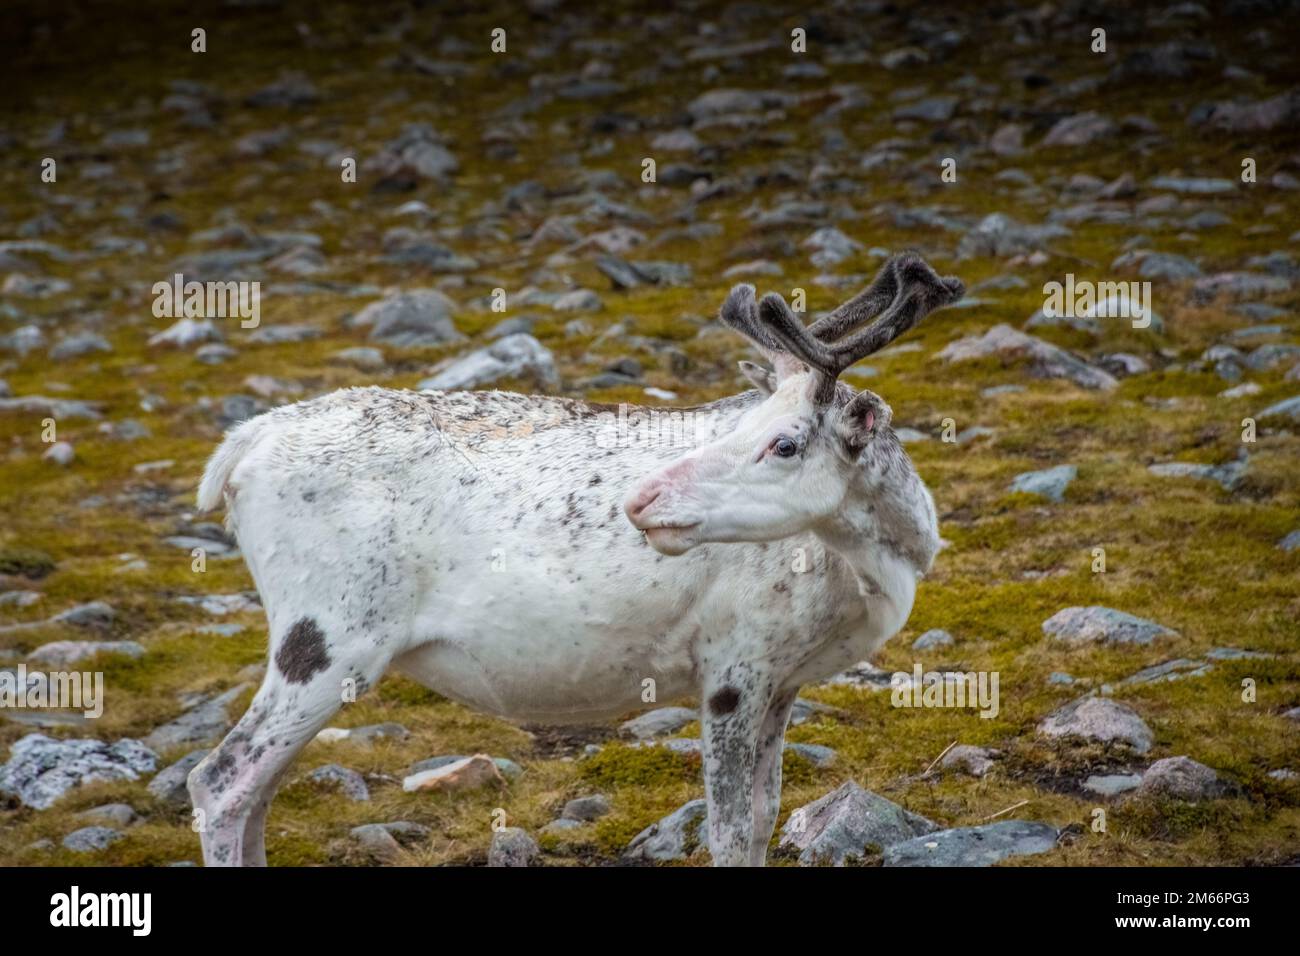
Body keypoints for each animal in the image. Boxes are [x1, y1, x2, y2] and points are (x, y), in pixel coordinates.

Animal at [187, 252, 964, 867]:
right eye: (747, 424)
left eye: (785, 442)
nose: (642, 499)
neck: (875, 564)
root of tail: (243, 445)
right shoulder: (731, 672)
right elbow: (729, 830)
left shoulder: (783, 681)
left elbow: (765, 818)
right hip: (325, 638)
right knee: (221, 780)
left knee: (258, 788)